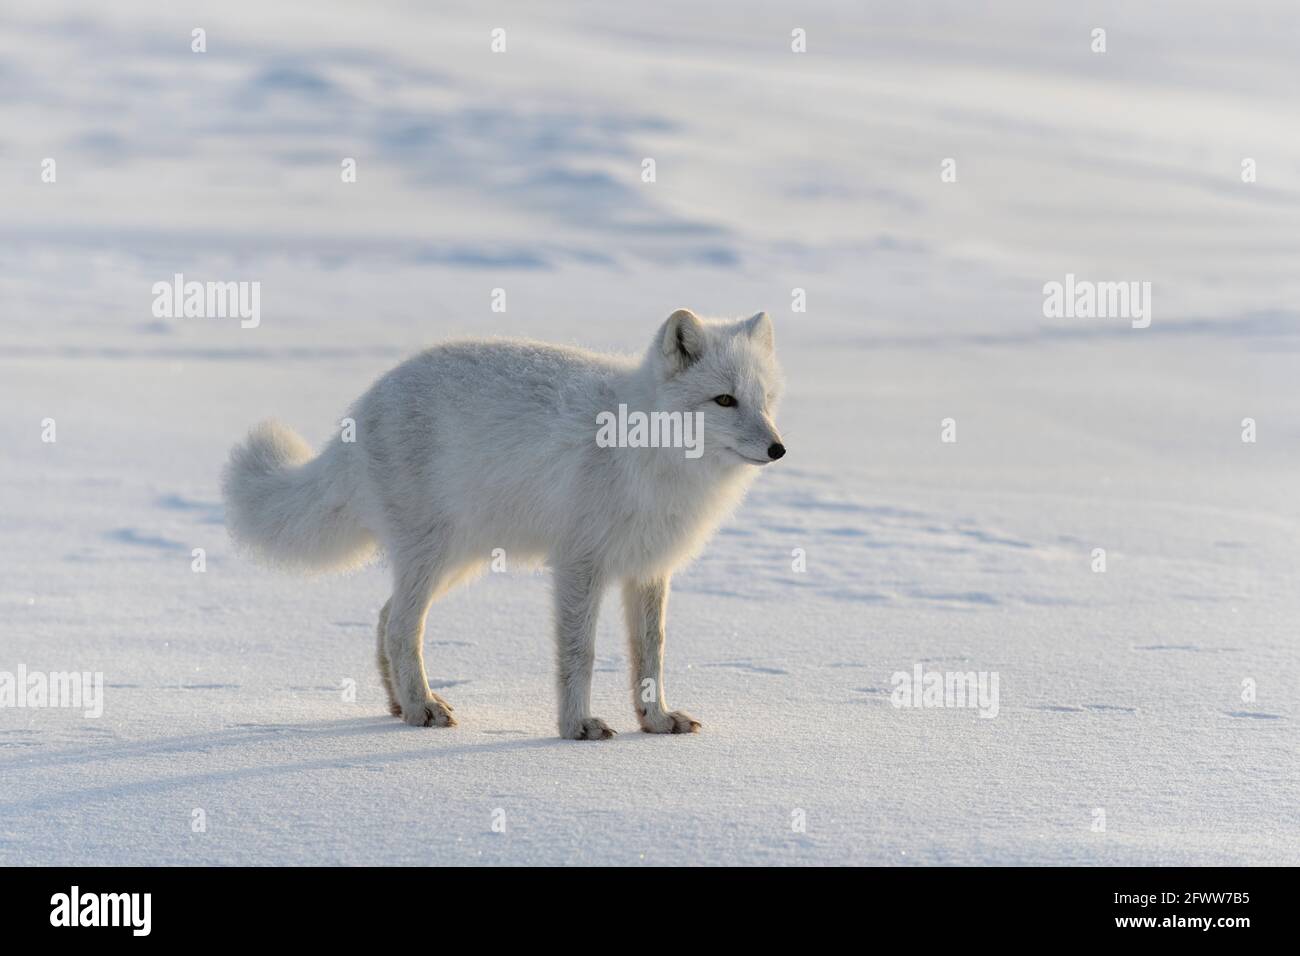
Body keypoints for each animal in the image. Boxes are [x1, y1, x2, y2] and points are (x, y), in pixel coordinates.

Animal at [221, 308, 785, 739]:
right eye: (724, 400)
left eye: (765, 401)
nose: (779, 450)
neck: (644, 449)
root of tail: (367, 401)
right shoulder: (579, 565)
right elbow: (580, 653)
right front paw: (576, 727)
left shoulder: (648, 569)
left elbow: (651, 654)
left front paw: (656, 720)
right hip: (434, 555)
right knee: (402, 626)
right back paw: (422, 708)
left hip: (458, 560)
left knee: (384, 619)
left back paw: (403, 706)